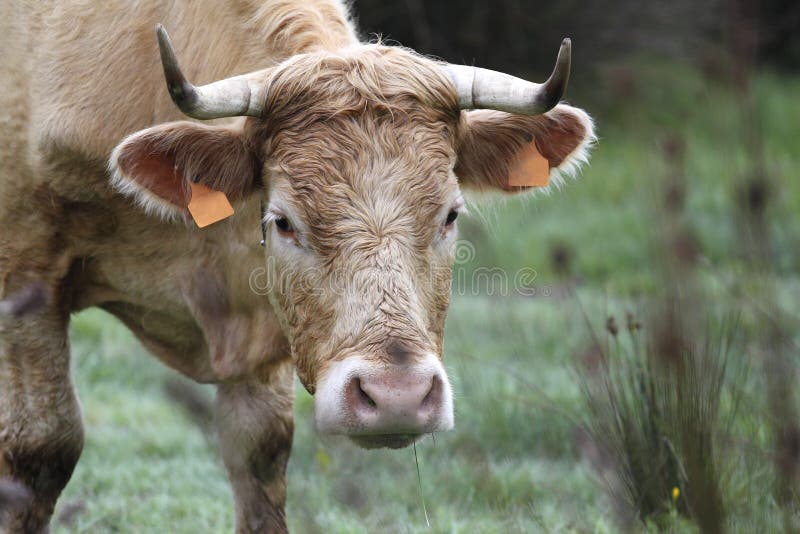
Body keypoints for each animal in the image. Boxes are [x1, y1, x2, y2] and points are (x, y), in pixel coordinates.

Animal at [0, 0, 594, 531]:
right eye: (283, 221)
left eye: (451, 214)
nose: (397, 397)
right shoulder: (25, 279)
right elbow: (41, 448)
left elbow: (259, 456)